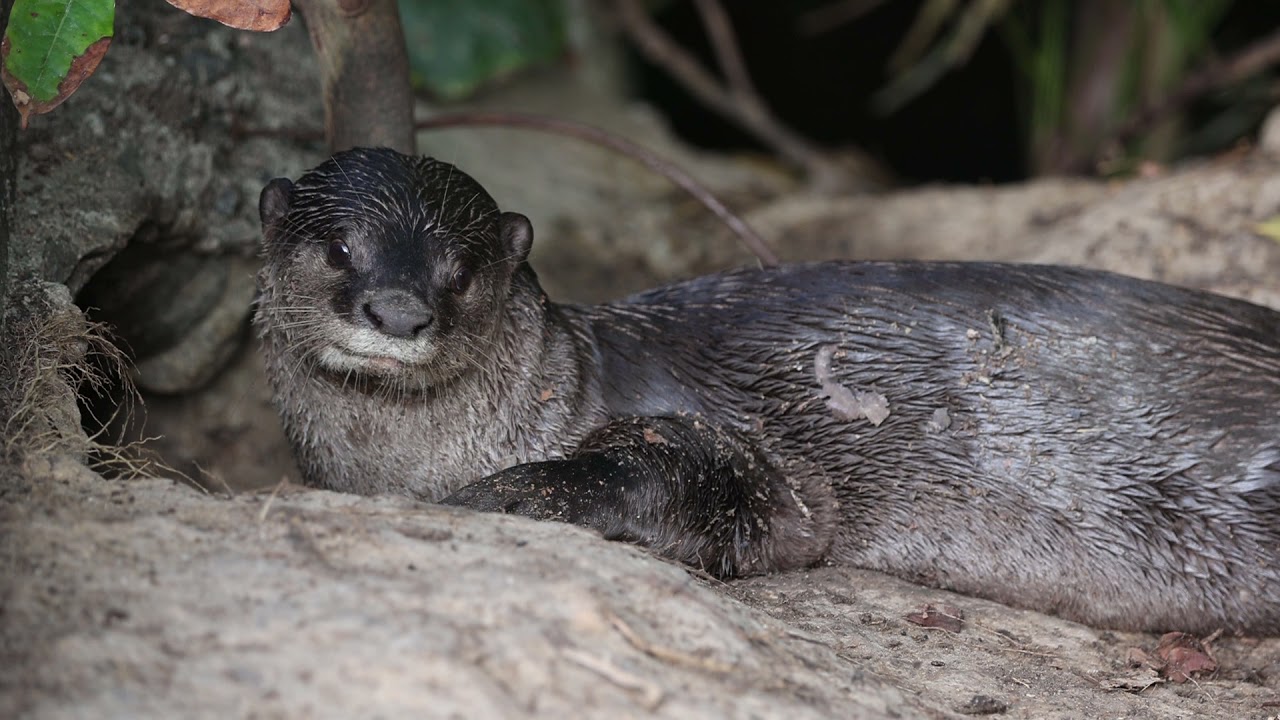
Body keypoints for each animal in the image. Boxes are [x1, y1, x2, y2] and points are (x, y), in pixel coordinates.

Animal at [255, 147, 1280, 635]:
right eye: (340, 249)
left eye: (459, 271)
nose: (398, 308)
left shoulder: (742, 454)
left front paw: (506, 496)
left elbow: (701, 482)